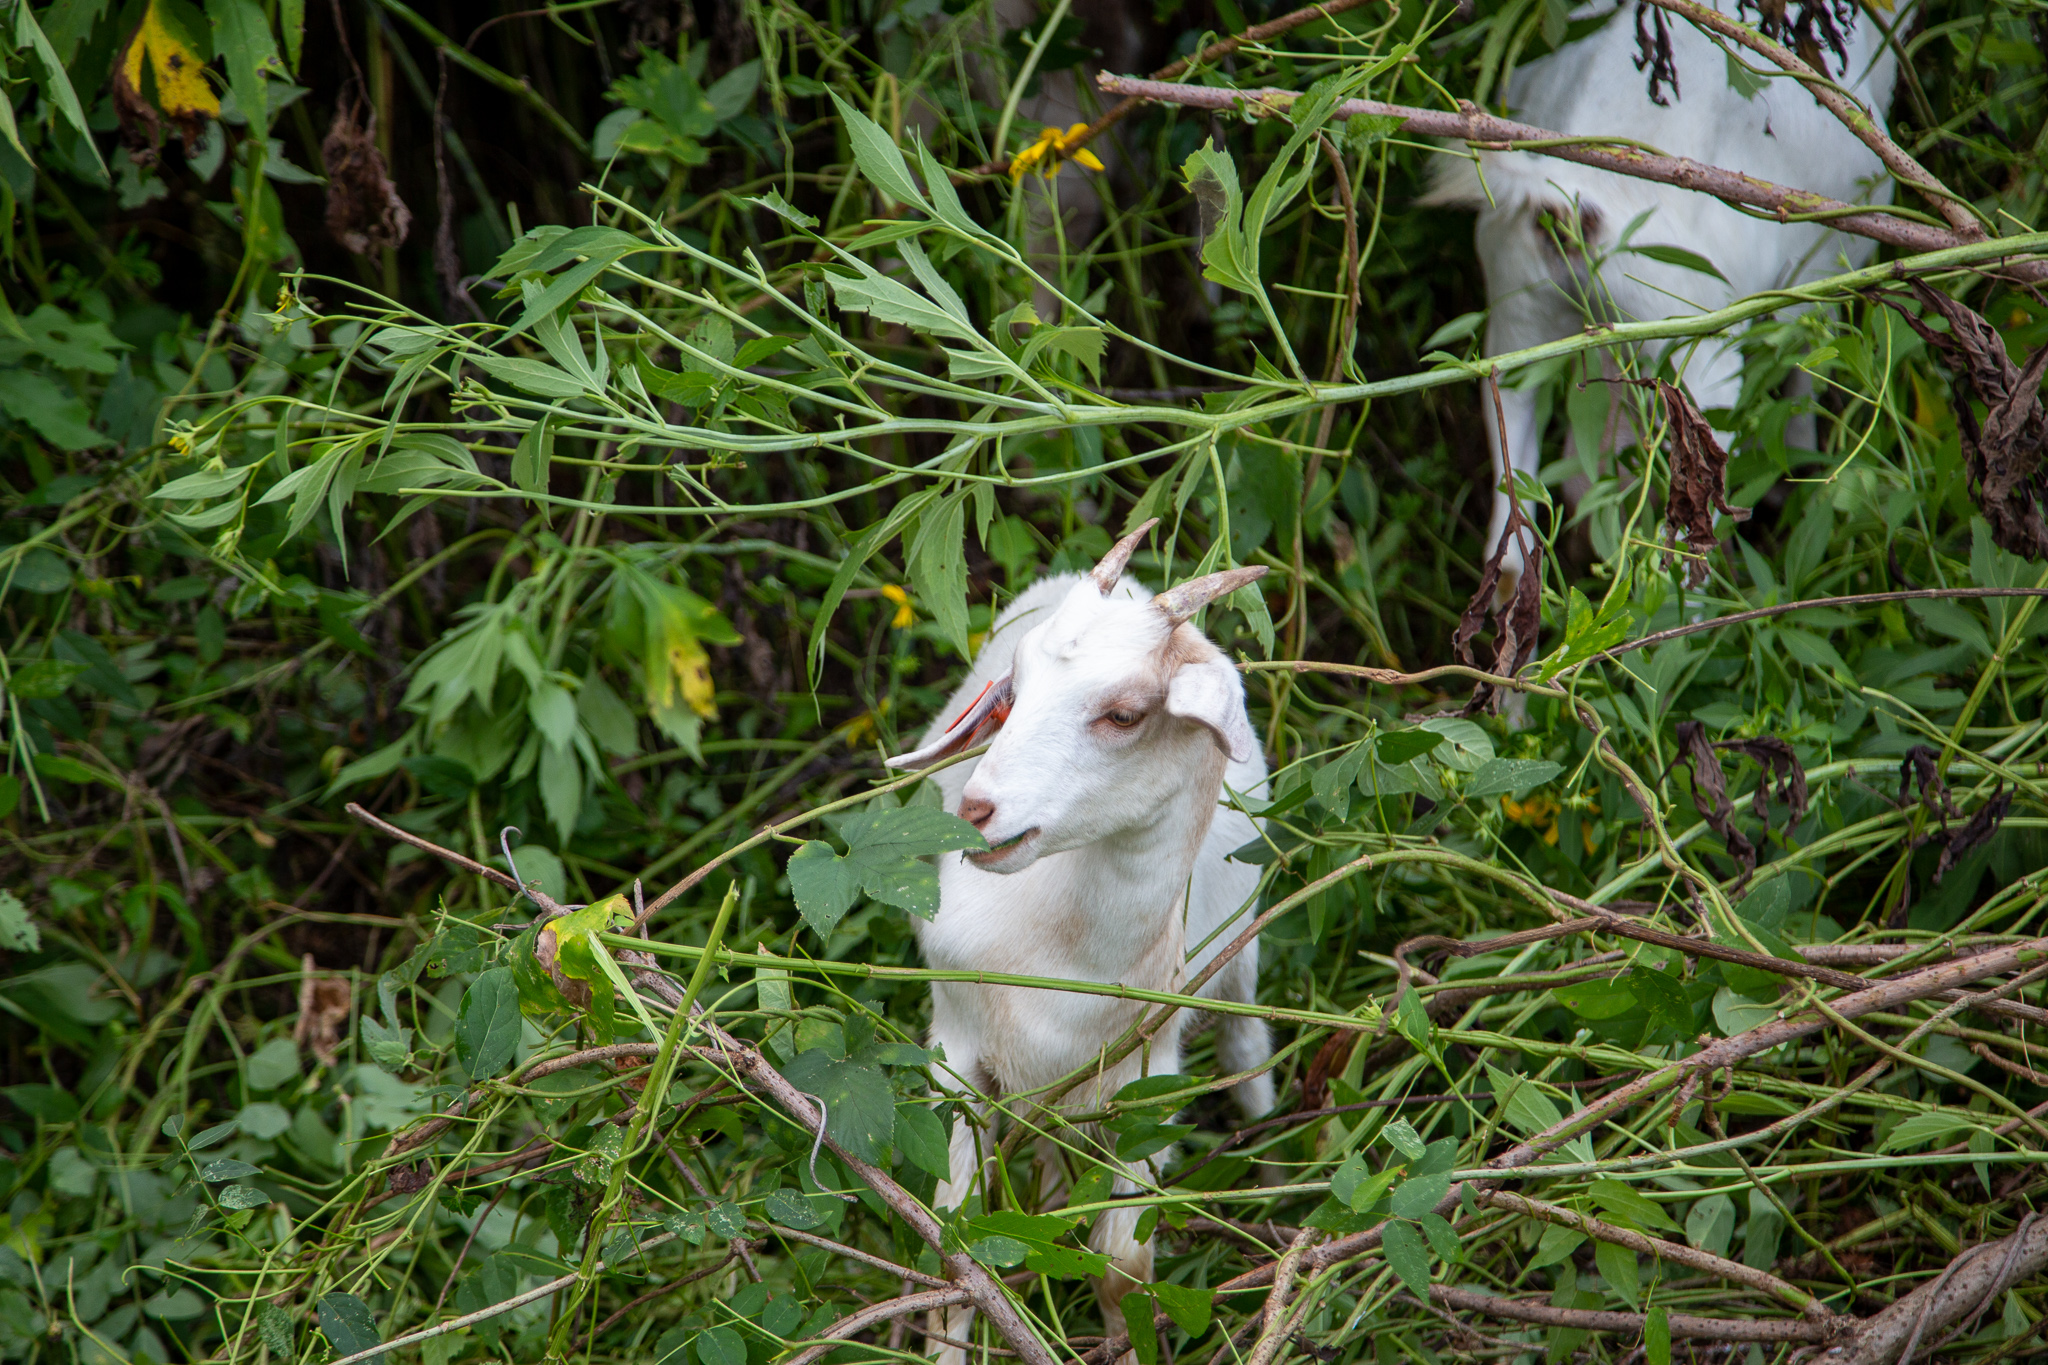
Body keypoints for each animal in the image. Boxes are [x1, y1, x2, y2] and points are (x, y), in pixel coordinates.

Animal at [885, 520, 1274, 1363]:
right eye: (1014, 691)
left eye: (1125, 714)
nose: (977, 808)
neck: (1064, 951)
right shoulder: (956, 1045)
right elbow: (956, 1245)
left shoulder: (1145, 1077)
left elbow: (1125, 1269)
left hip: (1239, 952)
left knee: (1248, 1041)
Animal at [1424, 0, 1900, 594]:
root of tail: (1571, 202)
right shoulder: (1836, 255)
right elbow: (1808, 365)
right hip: (1697, 350)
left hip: (1516, 317)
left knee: (1515, 509)